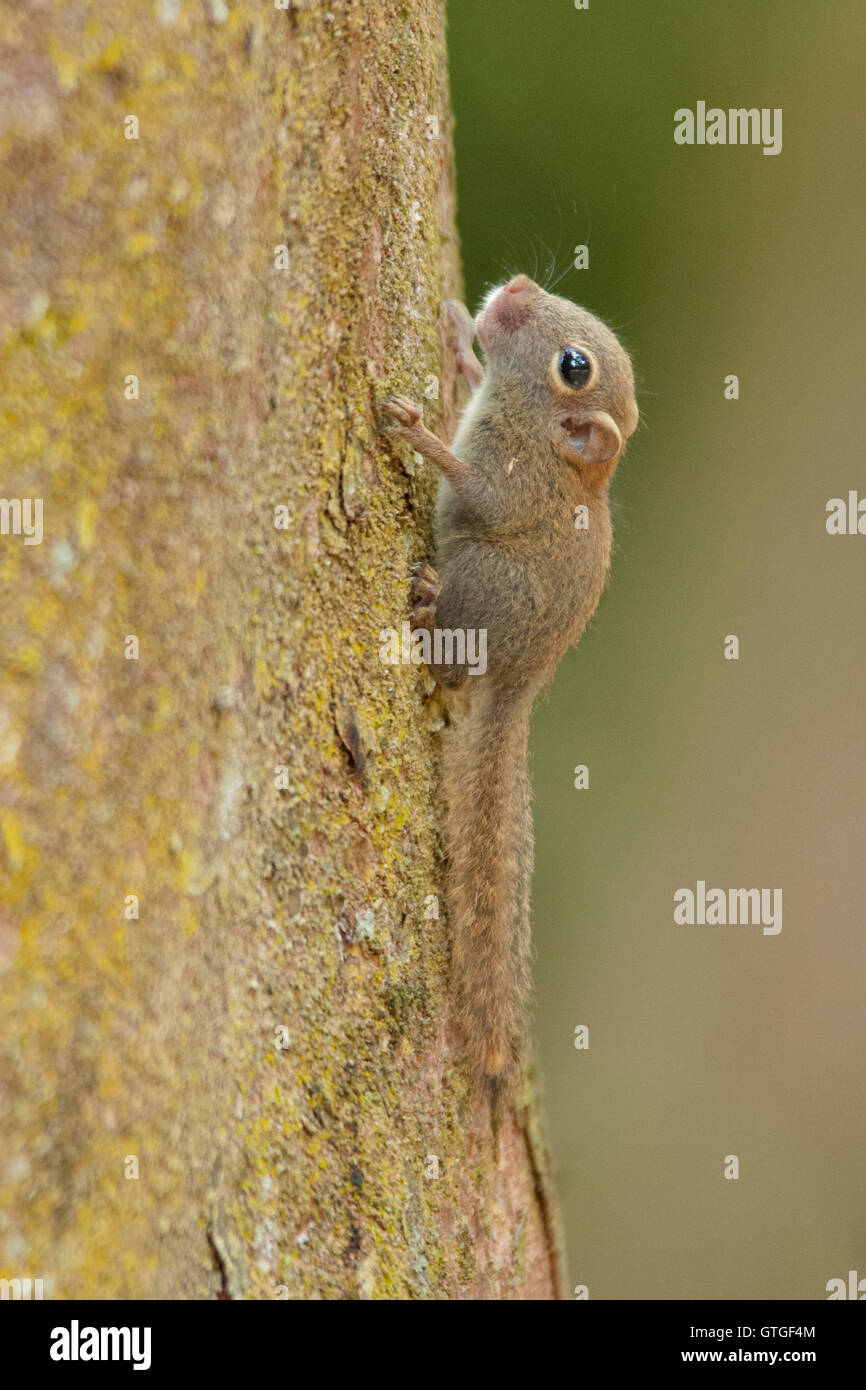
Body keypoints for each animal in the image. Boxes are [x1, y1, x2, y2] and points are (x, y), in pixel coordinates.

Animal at [381, 274, 638, 1095]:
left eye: (573, 367)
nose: (517, 288)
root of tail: (521, 684)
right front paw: (460, 349)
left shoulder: (507, 489)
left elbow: (466, 482)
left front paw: (417, 433)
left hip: (481, 577)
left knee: (453, 662)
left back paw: (428, 613)